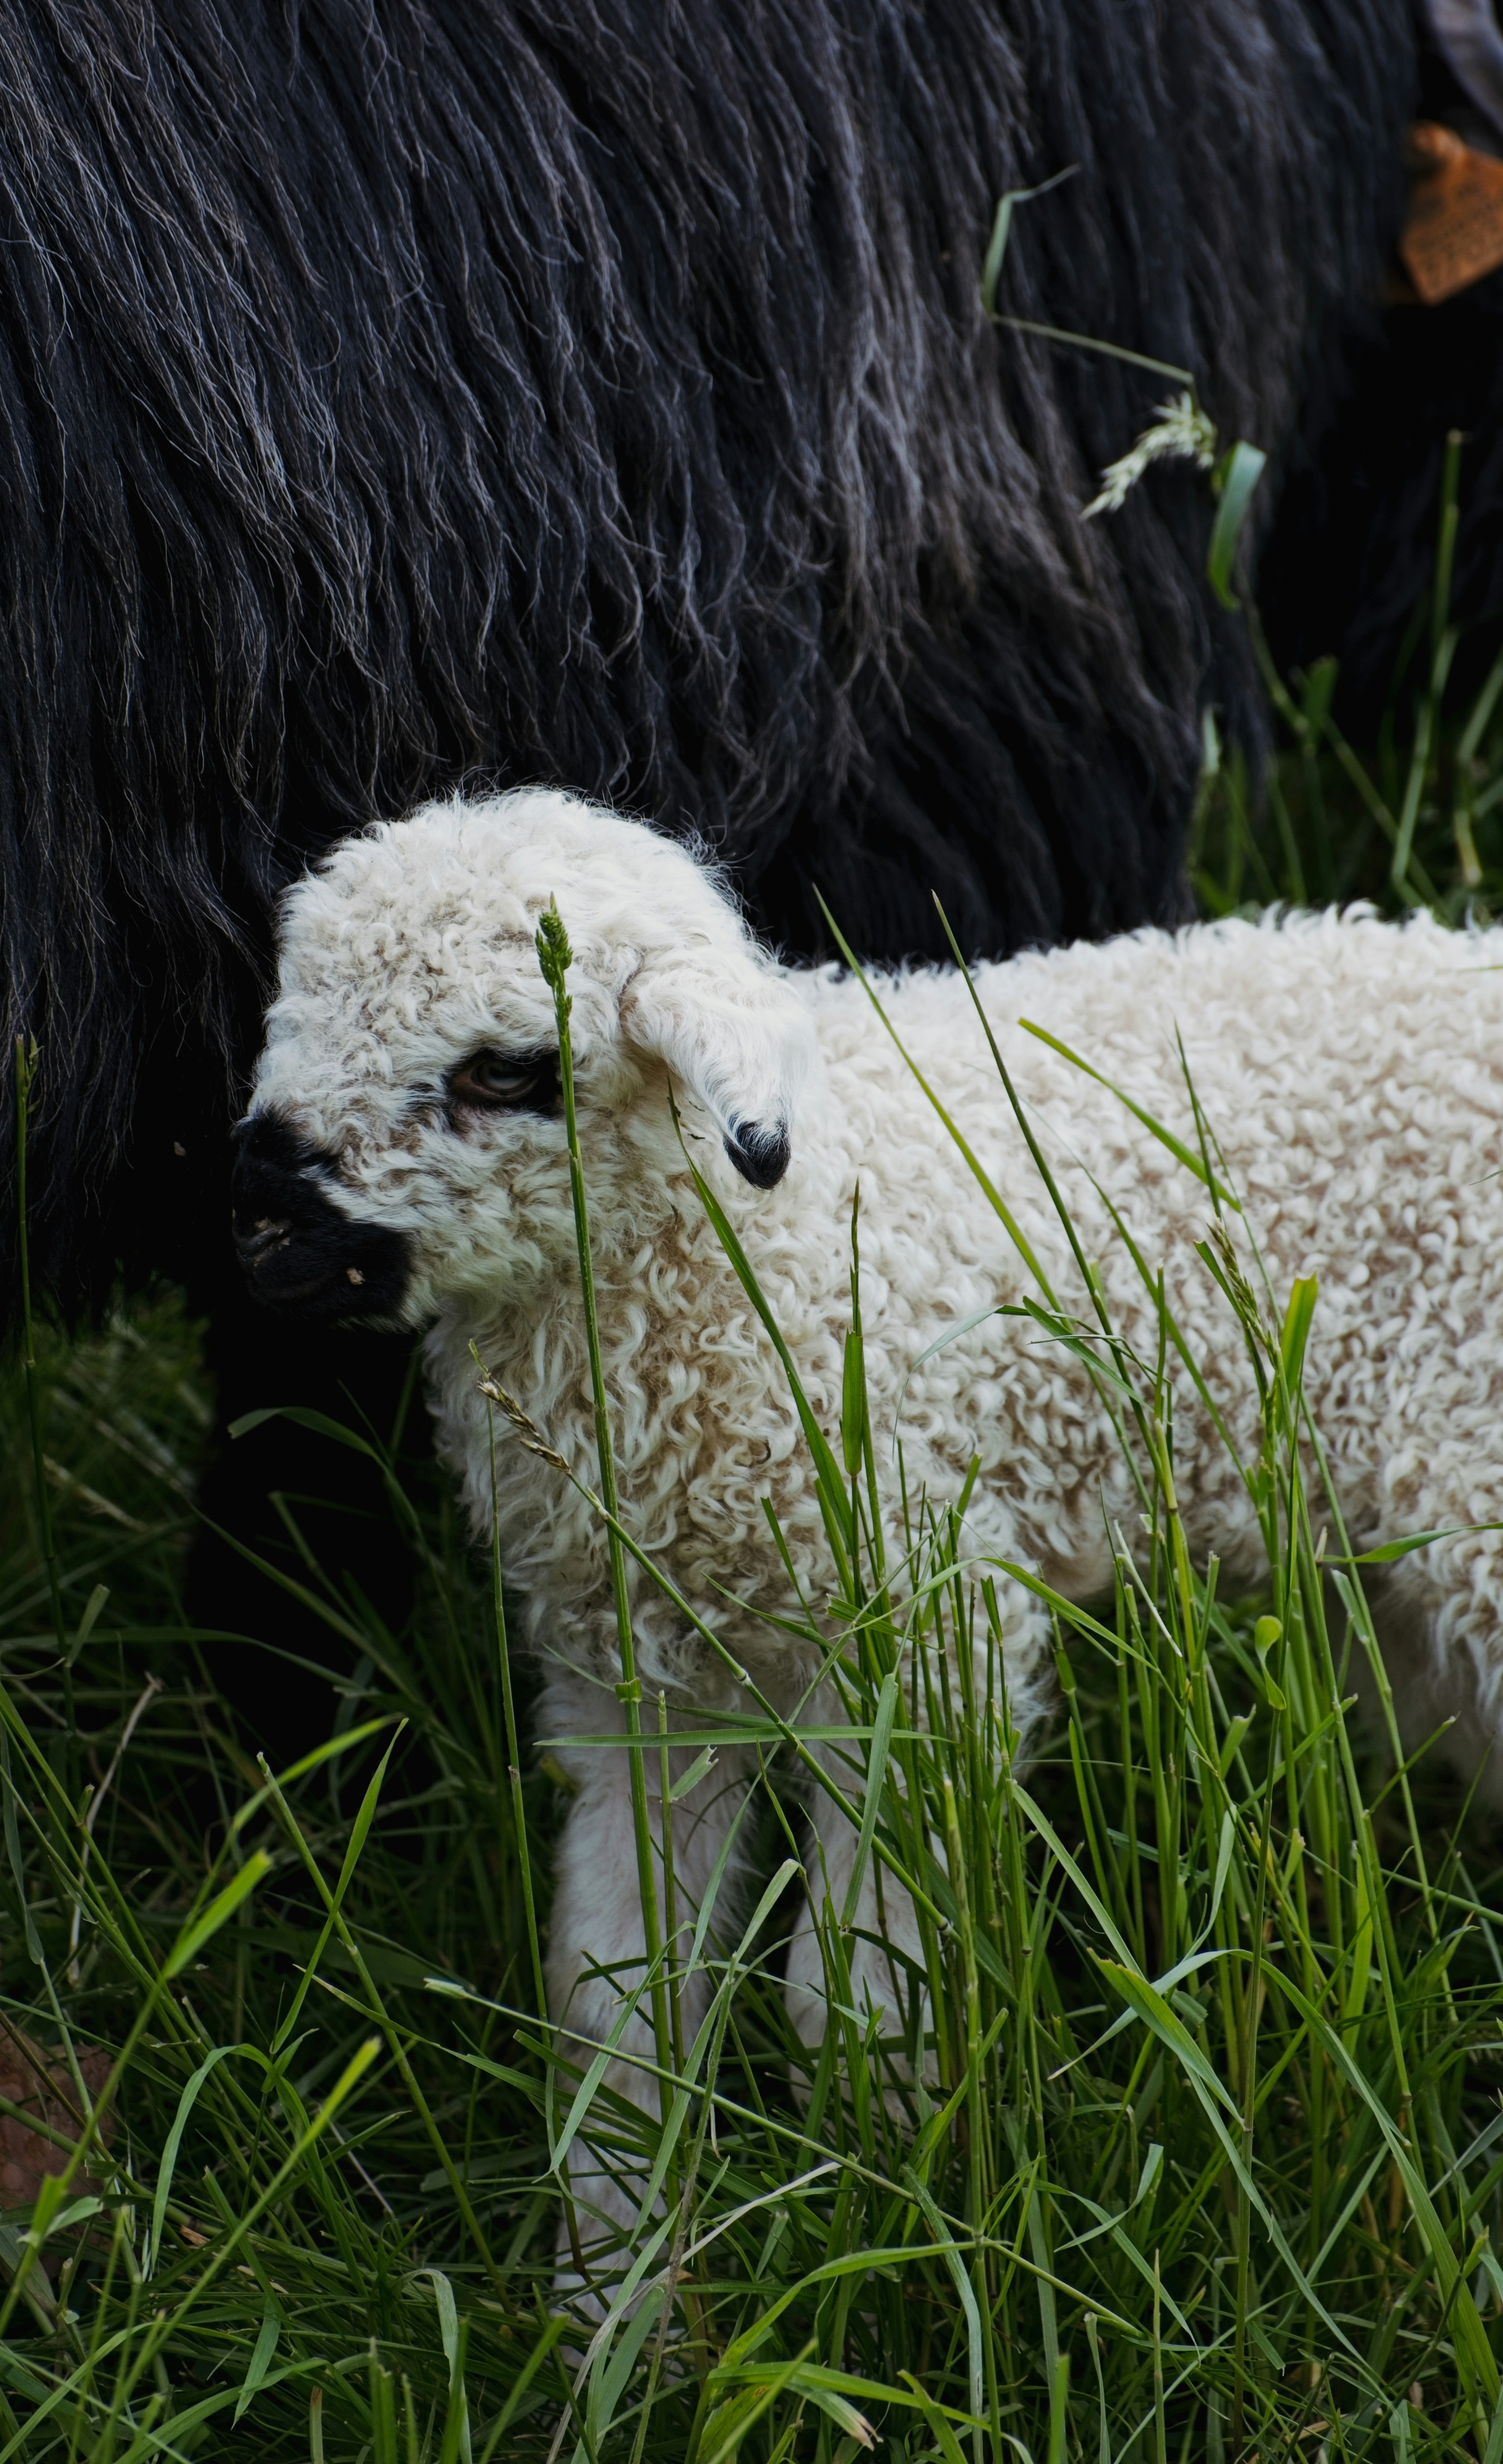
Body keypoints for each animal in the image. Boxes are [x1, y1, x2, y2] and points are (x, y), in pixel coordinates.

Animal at [236, 785, 1503, 2278]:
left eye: (503, 1070)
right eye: (295, 1005)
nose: (264, 1218)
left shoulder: (926, 1628)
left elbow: (849, 1997)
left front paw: (895, 2237)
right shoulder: (635, 1682)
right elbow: (617, 2003)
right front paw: (616, 2289)